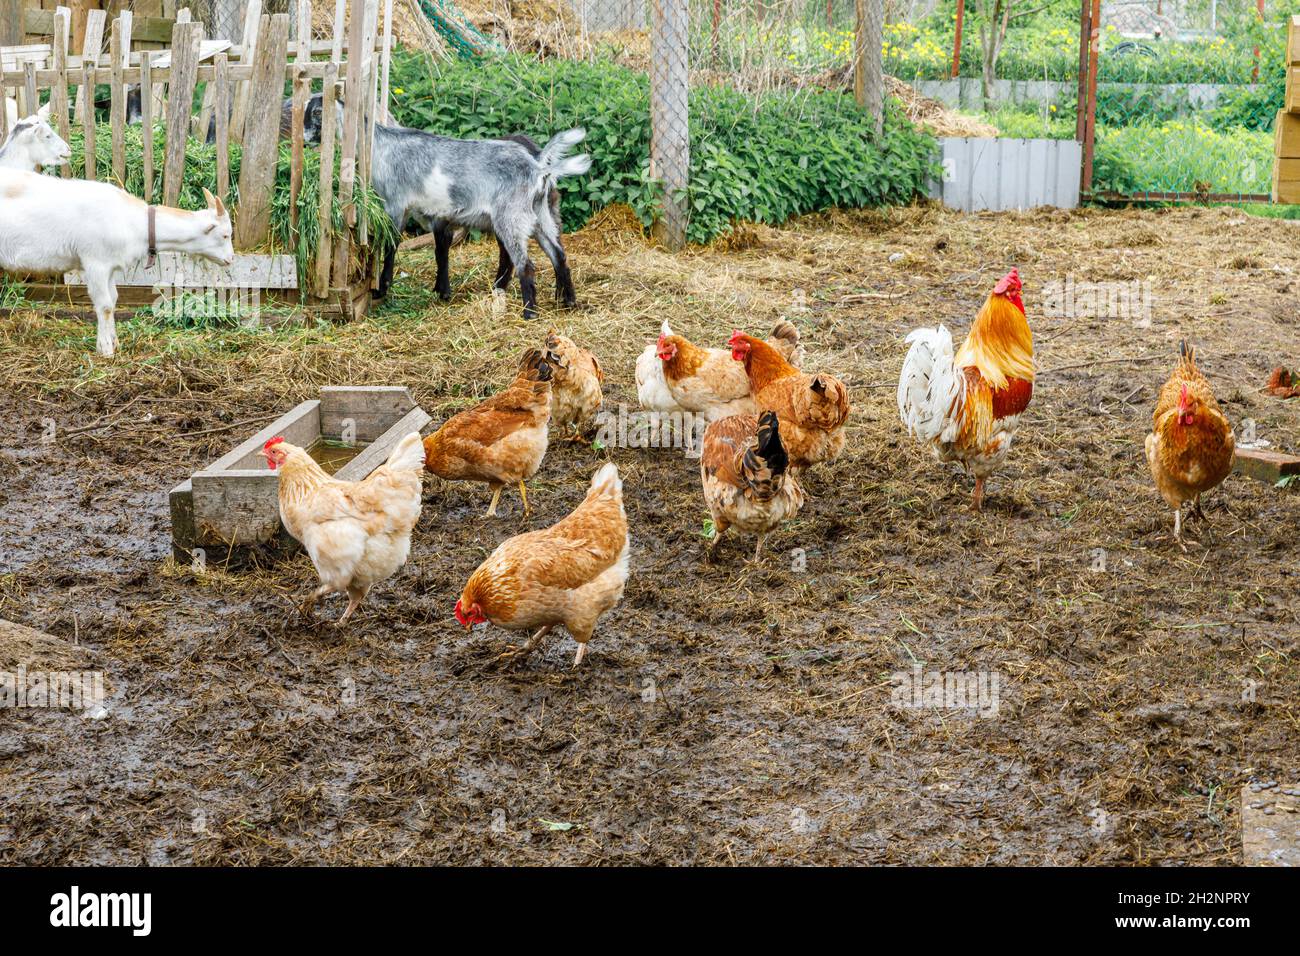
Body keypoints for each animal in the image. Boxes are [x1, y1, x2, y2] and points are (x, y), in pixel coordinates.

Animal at [0, 171, 234, 357]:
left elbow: (113, 300)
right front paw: (105, 349)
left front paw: (114, 342)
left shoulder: (110, 265)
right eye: (225, 235)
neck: (133, 221)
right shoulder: (95, 263)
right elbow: (104, 305)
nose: (231, 259)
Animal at [370, 122, 589, 318]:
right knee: (558, 255)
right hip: (541, 217)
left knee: (525, 265)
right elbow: (440, 252)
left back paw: (529, 313)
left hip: (511, 219)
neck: (383, 144)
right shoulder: (440, 219)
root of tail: (539, 170)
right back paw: (568, 301)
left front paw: (381, 288)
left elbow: (391, 245)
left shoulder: (396, 204)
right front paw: (442, 291)